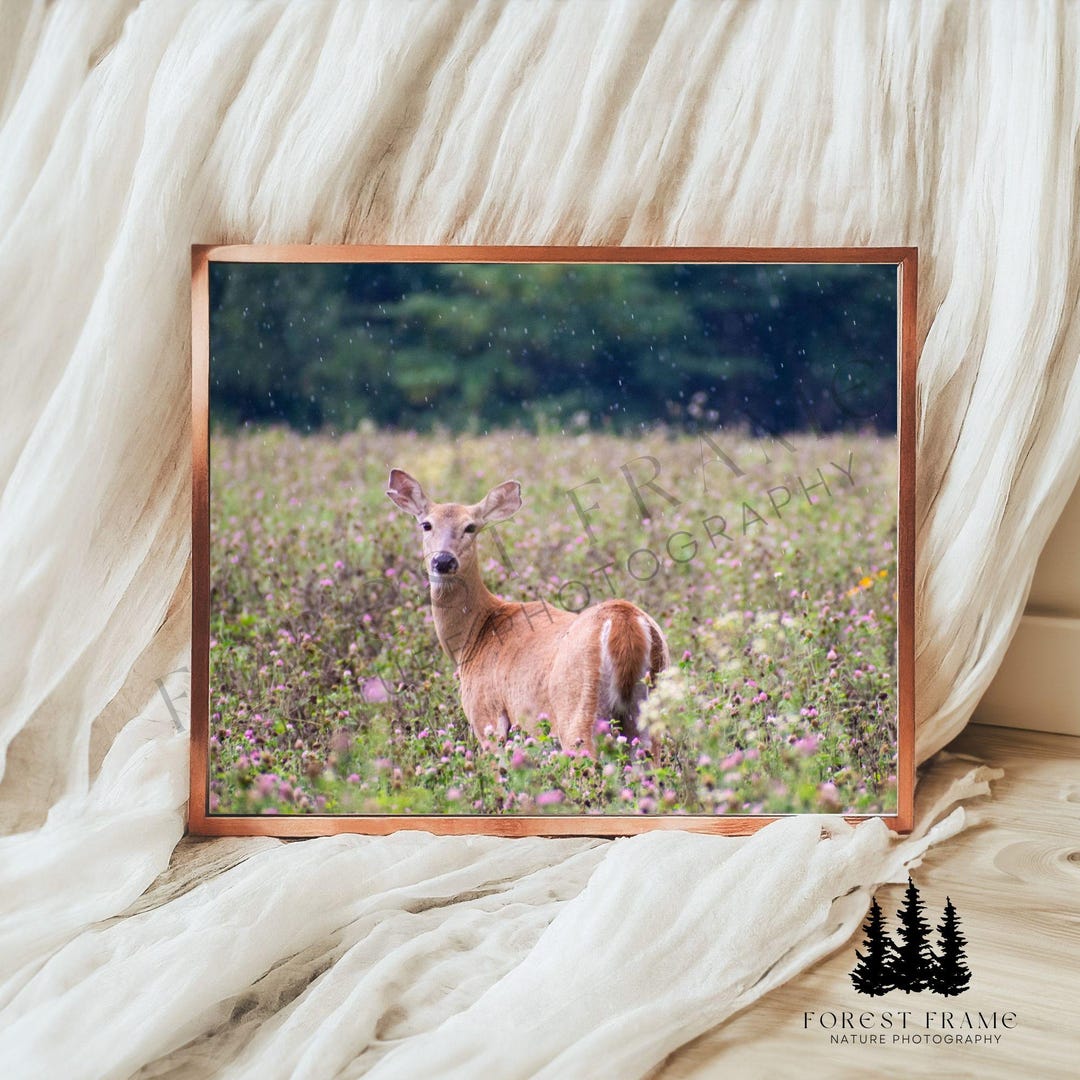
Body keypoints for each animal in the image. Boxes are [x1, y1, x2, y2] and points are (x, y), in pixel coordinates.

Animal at [386, 469, 669, 756]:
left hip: (579, 710)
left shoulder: (487, 716)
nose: (443, 561)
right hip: (647, 714)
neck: (473, 637)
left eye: (471, 527)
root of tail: (626, 621)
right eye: (426, 524)